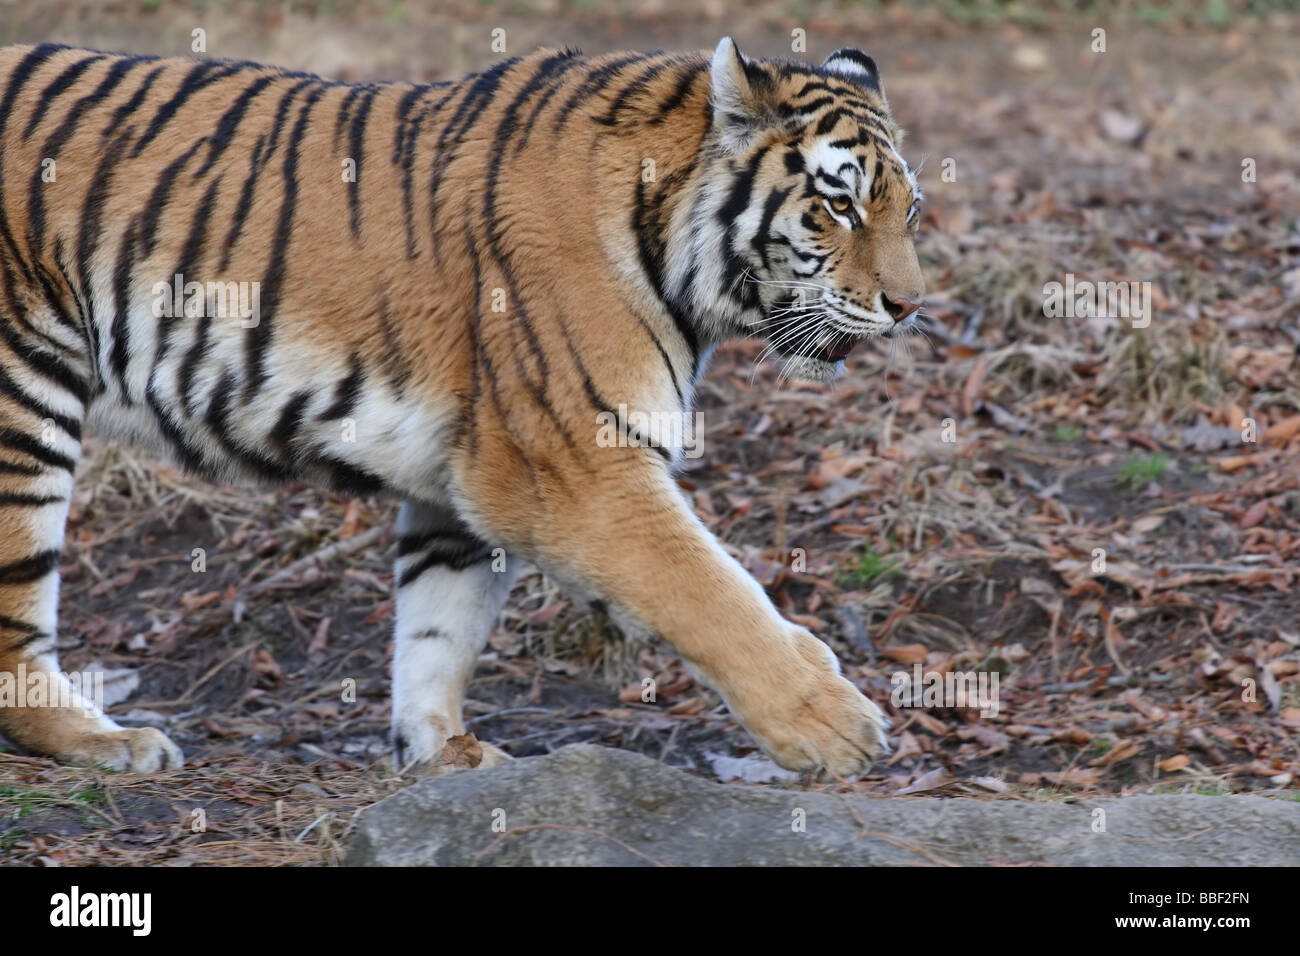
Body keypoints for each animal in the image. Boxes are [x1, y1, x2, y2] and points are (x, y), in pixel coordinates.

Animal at [0, 37, 926, 777]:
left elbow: (439, 627)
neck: (668, 238)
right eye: (838, 204)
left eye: (908, 208)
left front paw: (443, 754)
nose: (910, 308)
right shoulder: (580, 469)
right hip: (24, 400)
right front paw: (836, 727)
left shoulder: (467, 474)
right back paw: (110, 743)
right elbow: (711, 594)